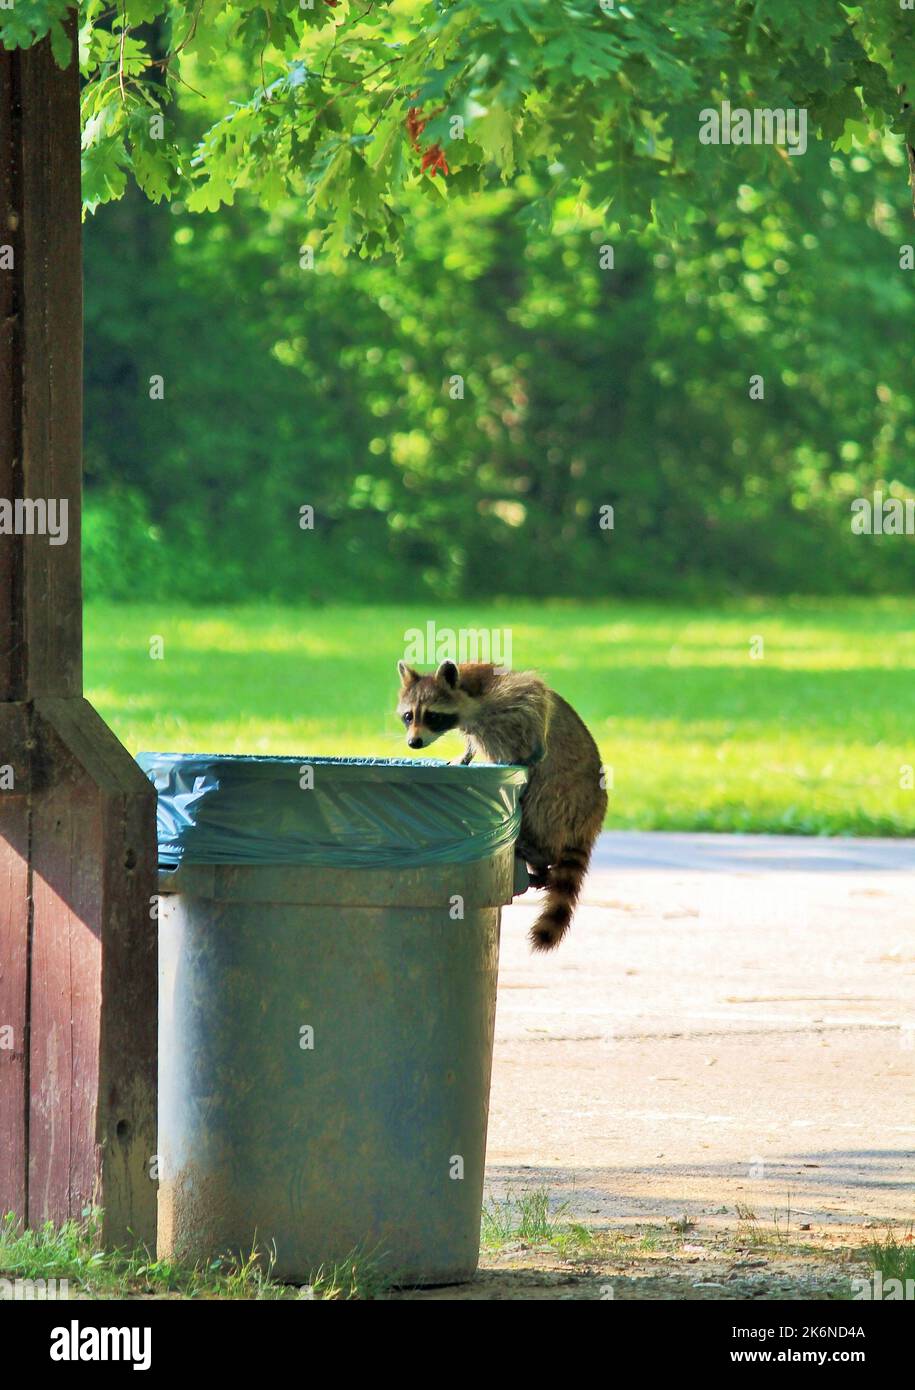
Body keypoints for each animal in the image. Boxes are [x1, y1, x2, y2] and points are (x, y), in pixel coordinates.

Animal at [396, 659, 607, 951]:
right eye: (408, 716)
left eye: (432, 716)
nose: (413, 743)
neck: (467, 696)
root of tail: (592, 817)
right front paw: (465, 755)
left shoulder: (506, 694)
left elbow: (537, 697)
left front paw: (536, 746)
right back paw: (540, 869)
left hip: (565, 794)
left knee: (539, 806)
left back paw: (540, 855)